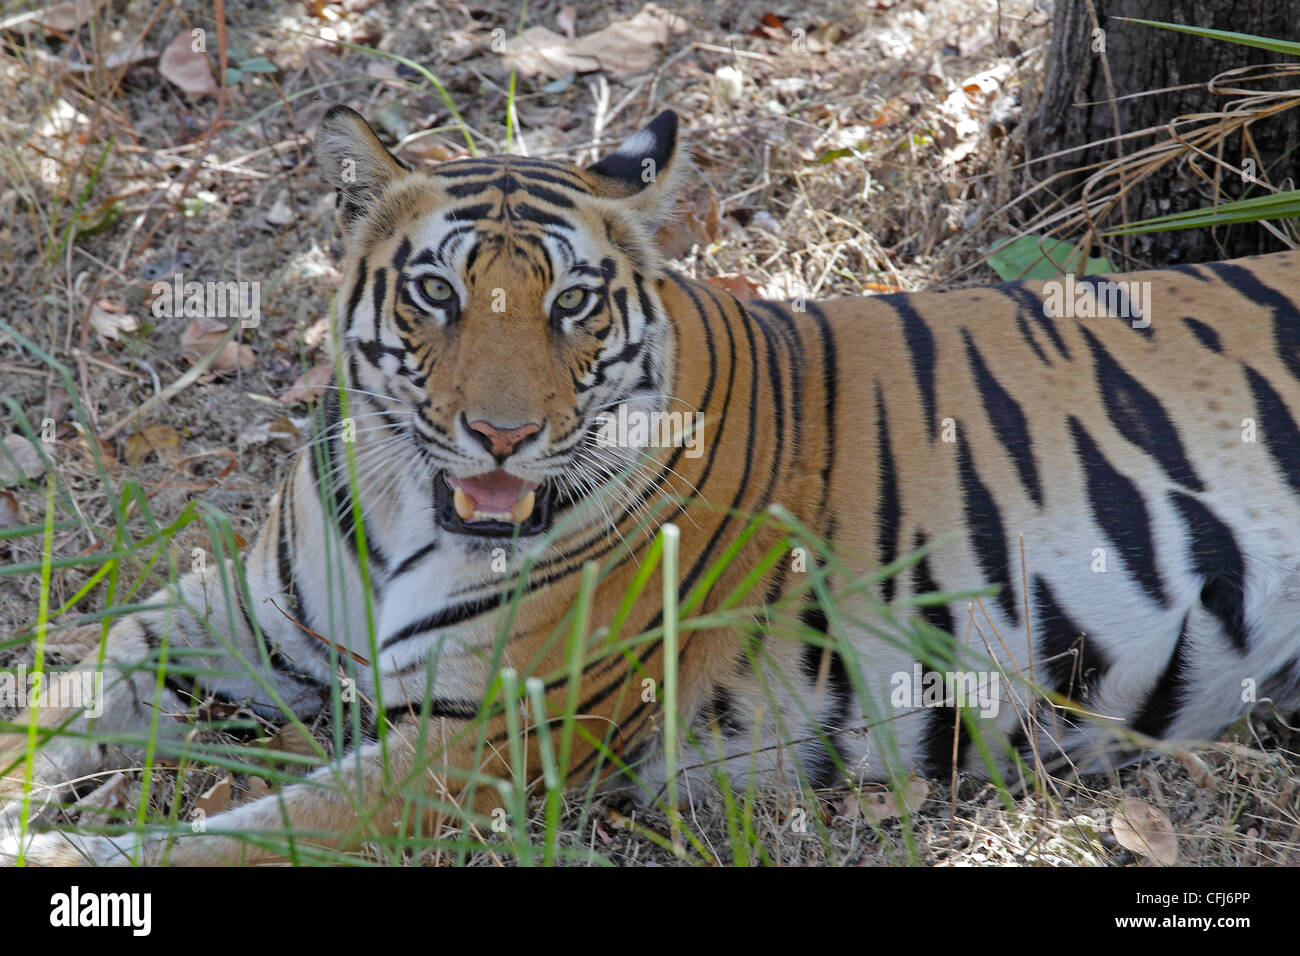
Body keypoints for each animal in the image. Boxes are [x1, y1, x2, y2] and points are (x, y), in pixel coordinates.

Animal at [3, 104, 1300, 866]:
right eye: (437, 294)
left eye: (573, 303)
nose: (503, 435)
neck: (403, 510)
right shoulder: (239, 616)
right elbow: (66, 682)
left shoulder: (478, 740)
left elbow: (229, 837)